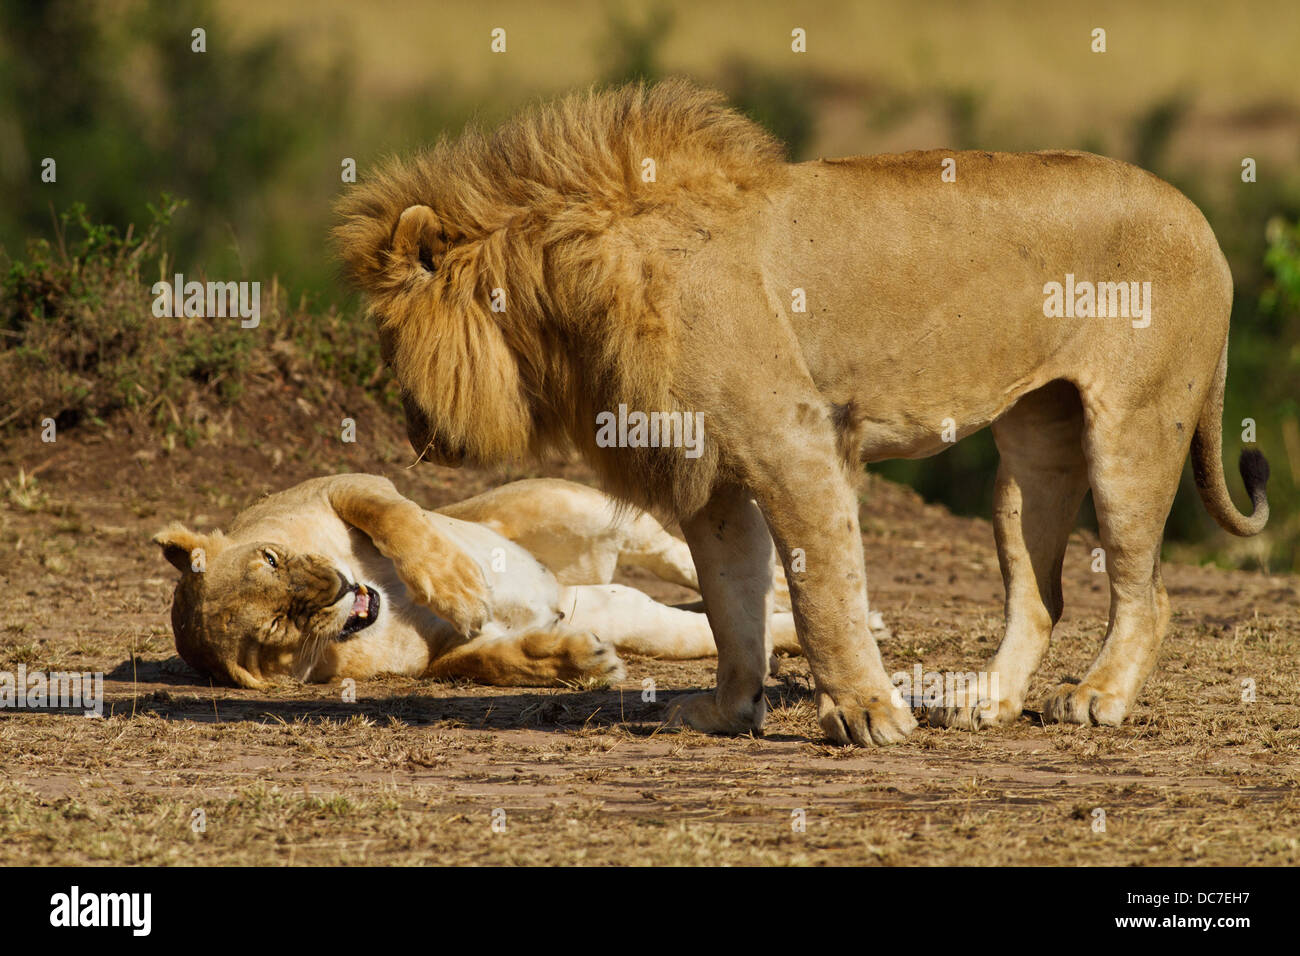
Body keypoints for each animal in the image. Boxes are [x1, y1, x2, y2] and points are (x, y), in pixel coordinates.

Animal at [153, 474, 818, 689]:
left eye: (270, 558)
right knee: (712, 626)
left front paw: (456, 584)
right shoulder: (438, 661)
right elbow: (489, 660)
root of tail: (571, 584)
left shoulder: (342, 483)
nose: (334, 590)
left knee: (681, 555)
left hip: (587, 509)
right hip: (626, 612)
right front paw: (576, 662)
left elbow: (394, 517)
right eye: (277, 625)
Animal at [334, 79, 1269, 745]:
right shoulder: (708, 469)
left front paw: (867, 716)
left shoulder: (793, 444)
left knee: (1148, 591)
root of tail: (1200, 217)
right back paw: (987, 702)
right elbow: (730, 599)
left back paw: (1098, 698)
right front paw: (729, 712)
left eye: (389, 340)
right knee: (1039, 595)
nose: (410, 431)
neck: (567, 294)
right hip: (1031, 455)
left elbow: (824, 595)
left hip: (1133, 433)